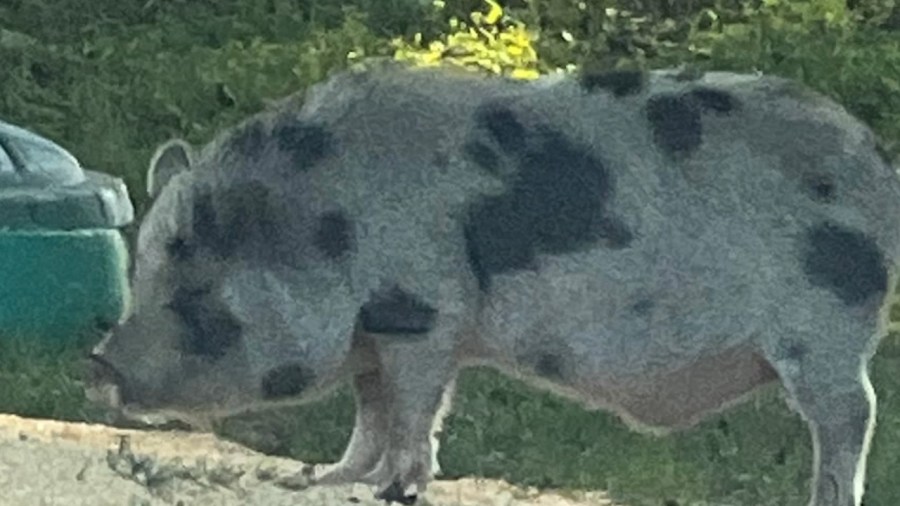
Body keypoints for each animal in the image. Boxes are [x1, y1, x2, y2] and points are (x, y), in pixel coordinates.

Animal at [87, 59, 900, 506]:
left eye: (196, 291)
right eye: (143, 270)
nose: (98, 365)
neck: (332, 227)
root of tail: (878, 159)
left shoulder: (424, 313)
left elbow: (413, 408)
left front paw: (393, 485)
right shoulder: (374, 332)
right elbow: (370, 408)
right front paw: (327, 479)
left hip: (824, 332)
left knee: (854, 413)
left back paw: (828, 499)